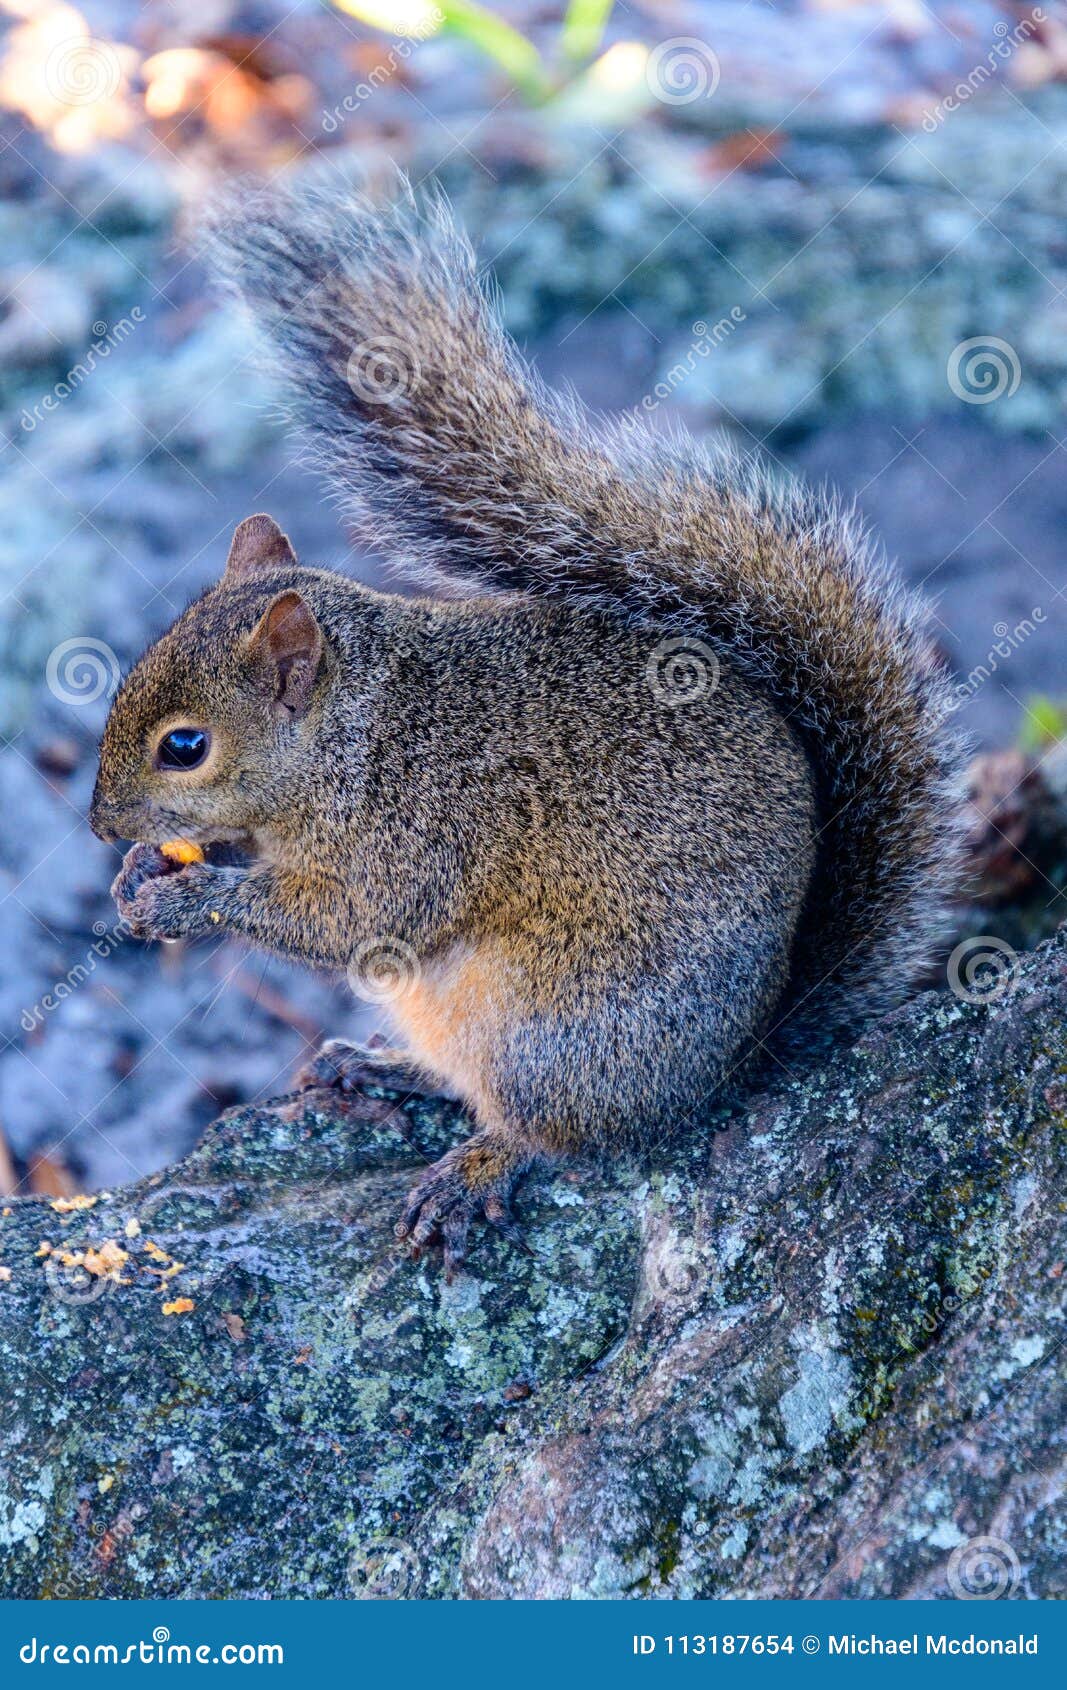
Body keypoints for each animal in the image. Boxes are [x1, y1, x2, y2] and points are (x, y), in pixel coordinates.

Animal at [90, 178, 964, 1275]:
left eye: (185, 747)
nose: (97, 825)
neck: (356, 731)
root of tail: (738, 1061)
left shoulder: (416, 826)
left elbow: (350, 918)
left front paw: (187, 897)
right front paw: (142, 876)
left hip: (557, 1034)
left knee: (556, 1132)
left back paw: (476, 1166)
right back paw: (383, 1067)